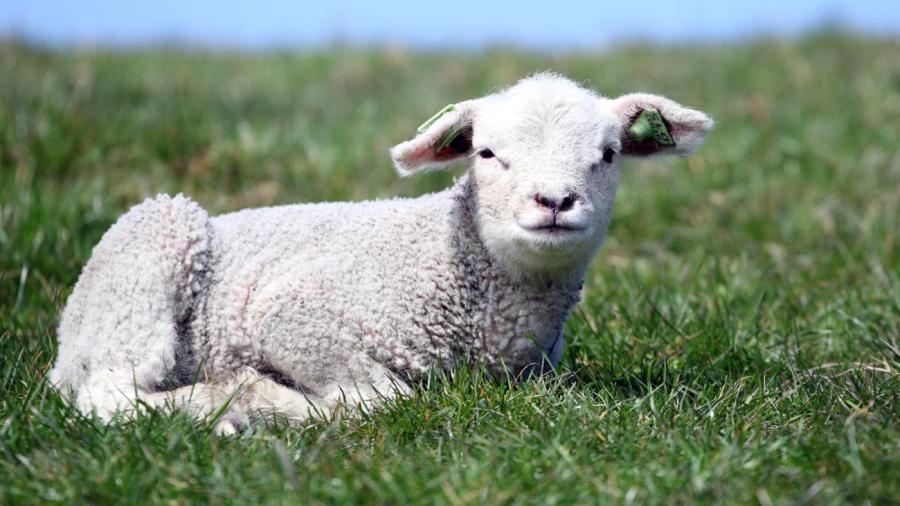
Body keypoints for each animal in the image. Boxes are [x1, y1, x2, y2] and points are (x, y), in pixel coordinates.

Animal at [49, 73, 713, 433]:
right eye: (486, 153)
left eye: (608, 154)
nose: (554, 200)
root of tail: (64, 340)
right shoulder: (293, 316)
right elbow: (384, 399)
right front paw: (263, 396)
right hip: (150, 254)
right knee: (109, 394)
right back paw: (221, 407)